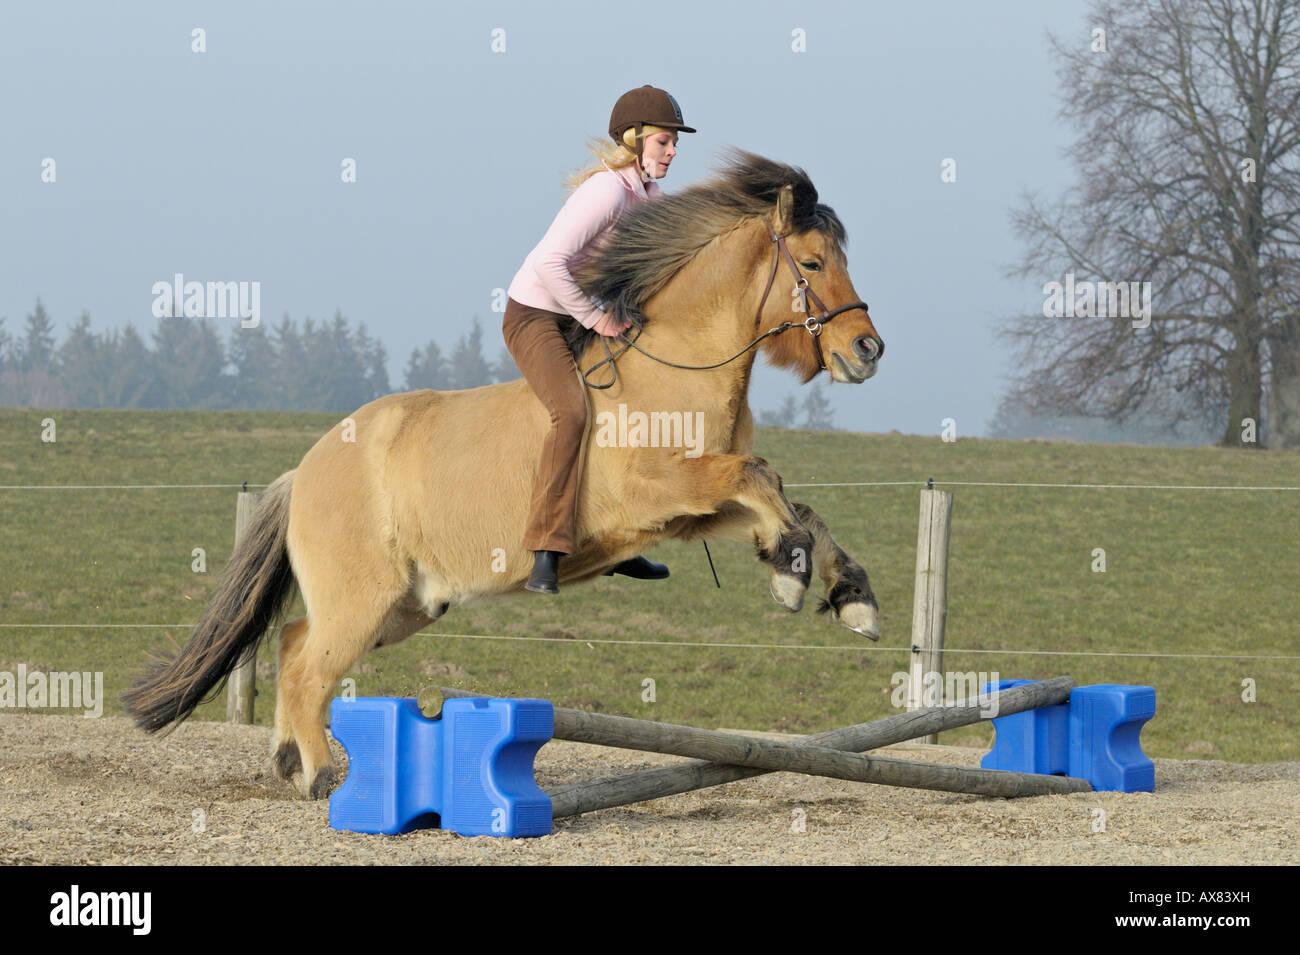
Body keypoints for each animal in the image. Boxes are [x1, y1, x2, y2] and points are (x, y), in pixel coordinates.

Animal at [122, 148, 886, 799]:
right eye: (813, 262)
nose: (868, 350)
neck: (678, 361)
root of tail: (303, 470)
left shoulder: (685, 511)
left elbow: (792, 502)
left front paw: (846, 593)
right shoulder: (657, 491)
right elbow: (762, 475)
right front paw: (790, 575)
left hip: (405, 605)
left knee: (291, 642)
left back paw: (286, 756)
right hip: (364, 599)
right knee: (312, 668)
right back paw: (316, 774)